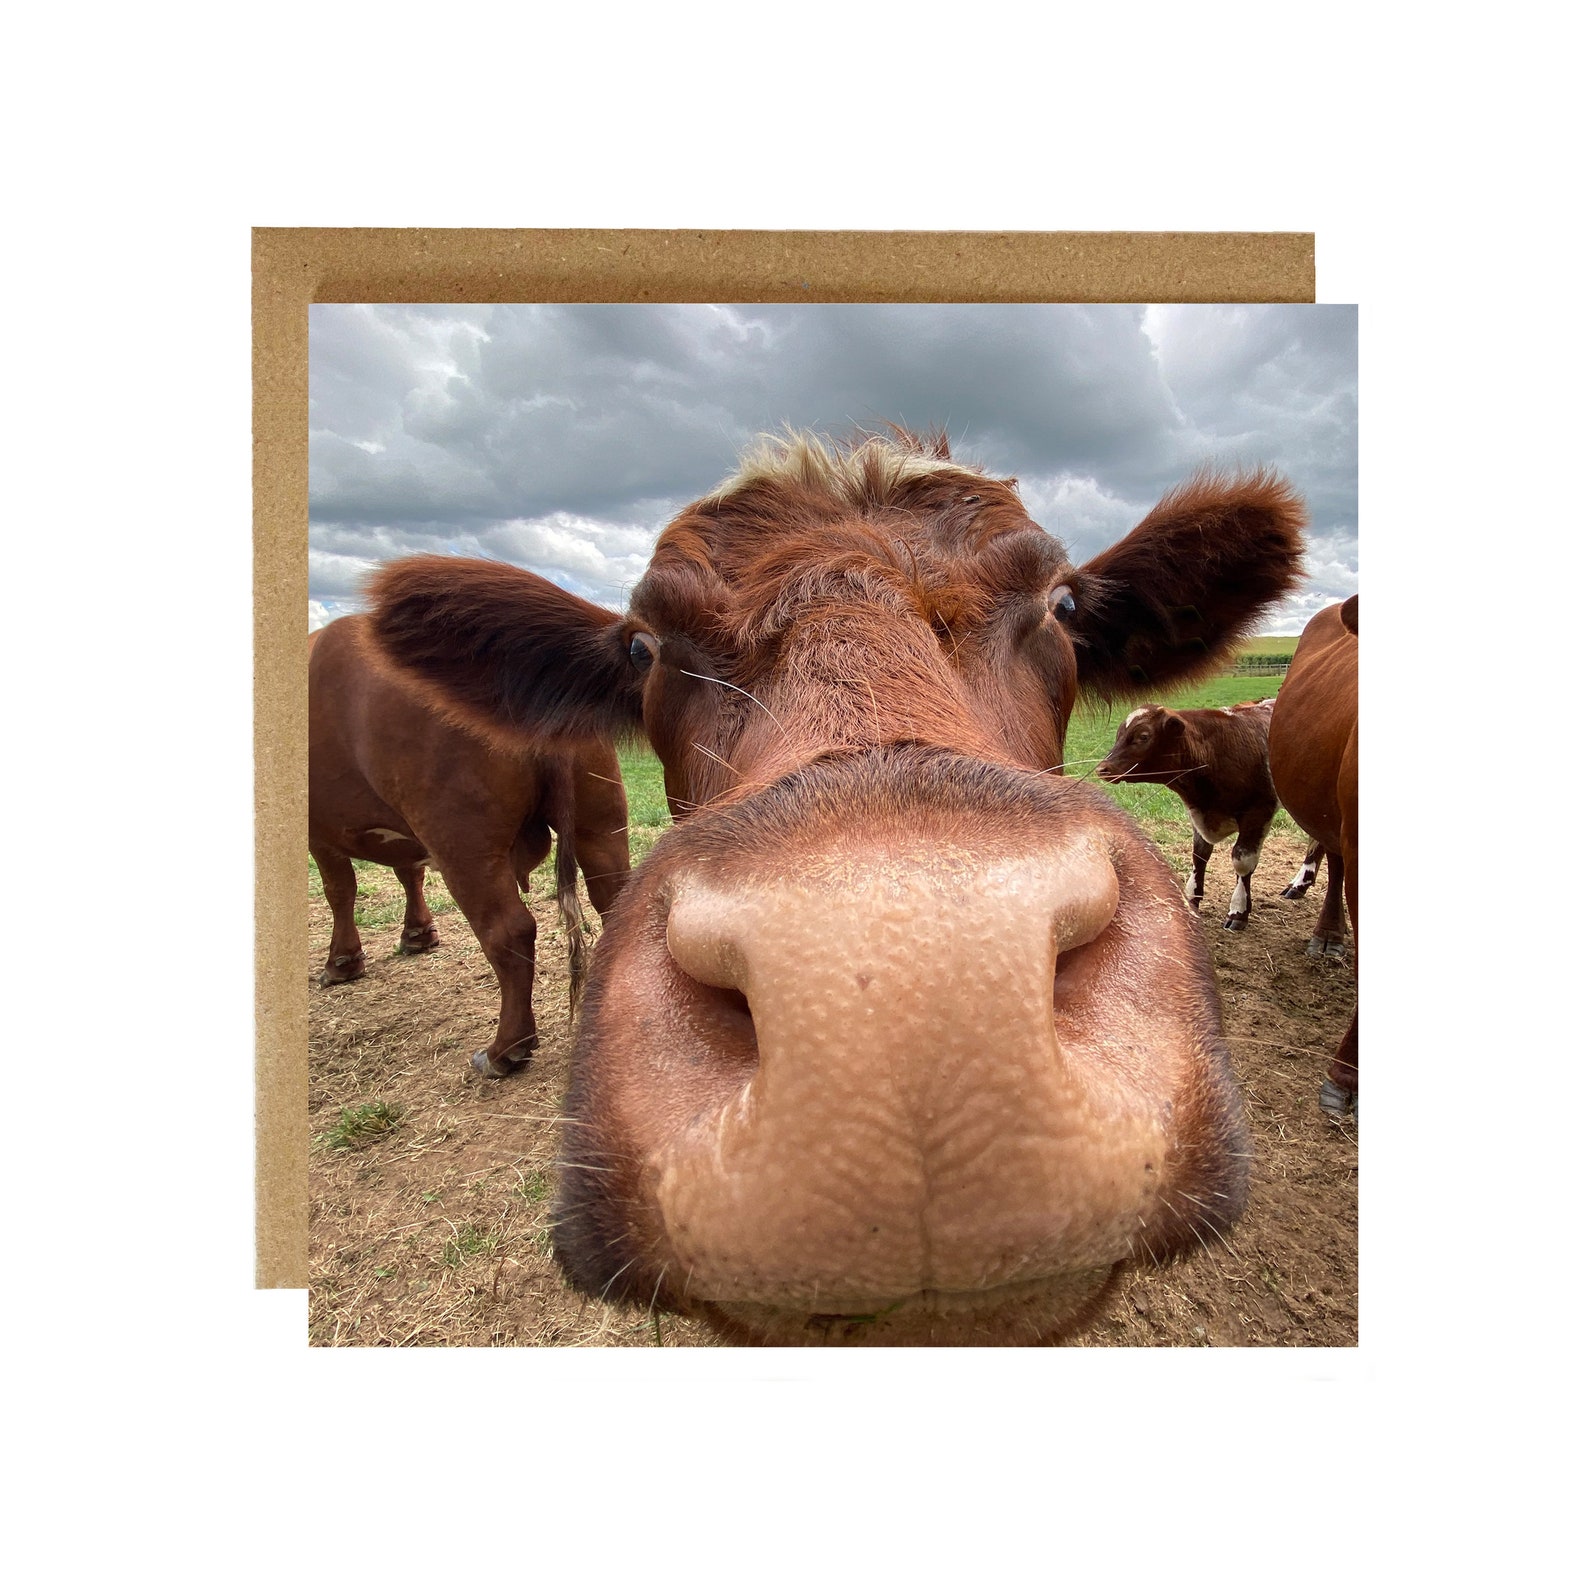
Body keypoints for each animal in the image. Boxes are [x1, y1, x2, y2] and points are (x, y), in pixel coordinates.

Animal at [308, 614, 632, 1076]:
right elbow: (409, 872)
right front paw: (418, 934)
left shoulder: (321, 832)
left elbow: (339, 891)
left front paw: (341, 962)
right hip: (599, 823)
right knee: (614, 898)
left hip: (463, 843)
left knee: (509, 932)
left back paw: (506, 1048)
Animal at [1095, 698, 1280, 931]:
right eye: (1119, 733)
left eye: (1143, 736)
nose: (1102, 769)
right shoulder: (1197, 815)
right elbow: (1199, 856)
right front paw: (1192, 899)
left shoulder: (1259, 812)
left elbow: (1242, 861)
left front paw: (1238, 911)